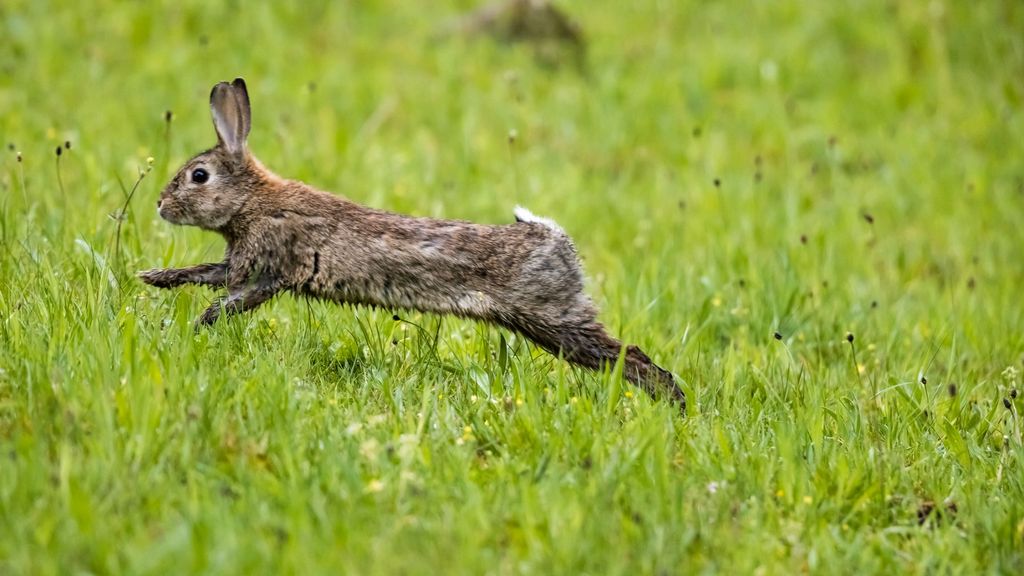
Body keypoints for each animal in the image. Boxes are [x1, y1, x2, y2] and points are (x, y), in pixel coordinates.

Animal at [139, 78, 686, 413]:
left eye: (199, 176)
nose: (161, 205)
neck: (253, 199)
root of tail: (555, 239)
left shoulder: (265, 265)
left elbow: (226, 289)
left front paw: (190, 316)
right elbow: (210, 276)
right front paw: (159, 284)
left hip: (554, 317)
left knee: (630, 356)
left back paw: (675, 403)